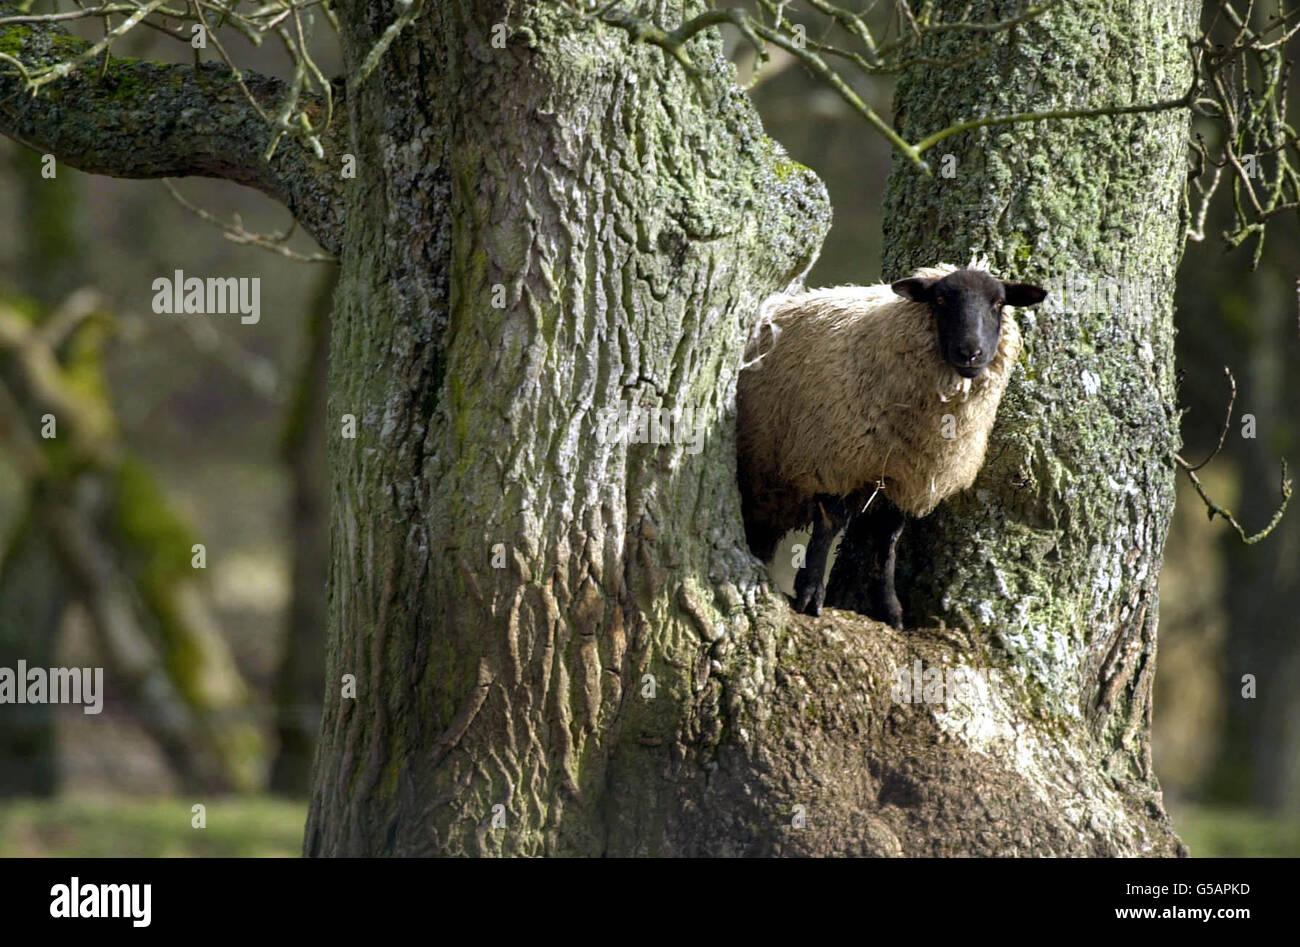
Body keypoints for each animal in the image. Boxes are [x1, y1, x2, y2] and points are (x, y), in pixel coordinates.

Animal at [736, 262, 1047, 627]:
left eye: (998, 303)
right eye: (940, 300)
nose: (971, 353)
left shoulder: (904, 476)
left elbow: (888, 543)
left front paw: (890, 610)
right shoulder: (831, 458)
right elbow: (830, 526)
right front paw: (811, 594)